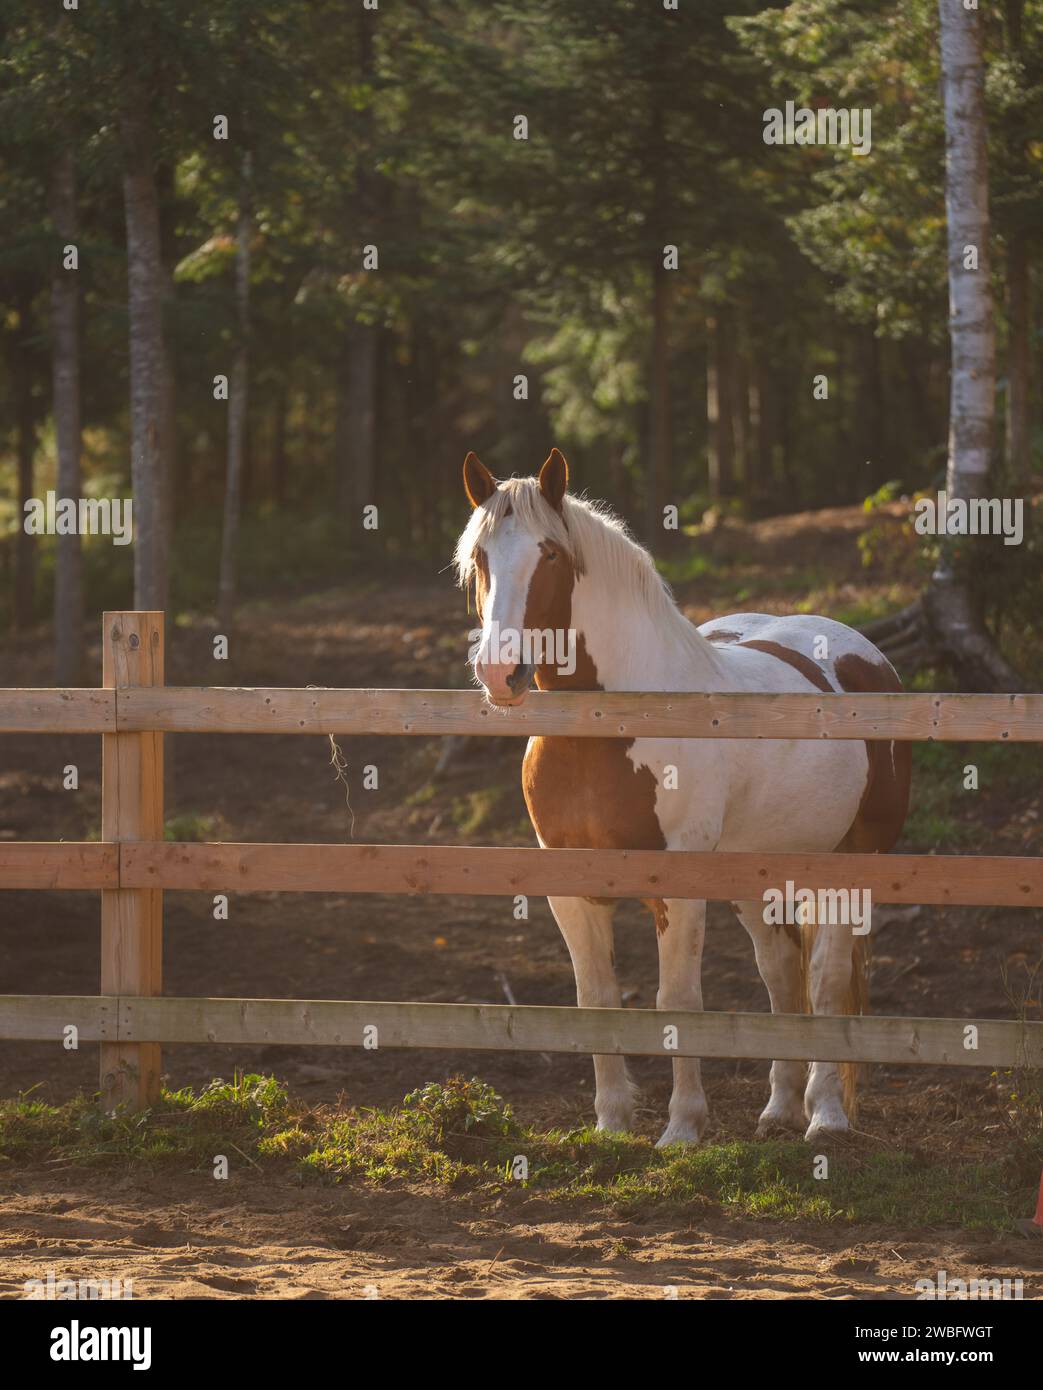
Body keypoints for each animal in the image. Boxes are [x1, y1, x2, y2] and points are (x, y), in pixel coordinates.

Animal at [454, 448, 910, 1147]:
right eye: (480, 556)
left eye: (549, 554)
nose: (501, 673)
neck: (603, 730)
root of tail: (869, 661)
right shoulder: (568, 886)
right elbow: (597, 998)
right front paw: (611, 1125)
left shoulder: (678, 887)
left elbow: (679, 1002)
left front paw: (683, 1128)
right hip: (757, 877)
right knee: (781, 972)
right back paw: (780, 1109)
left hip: (850, 868)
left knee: (827, 980)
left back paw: (825, 1115)